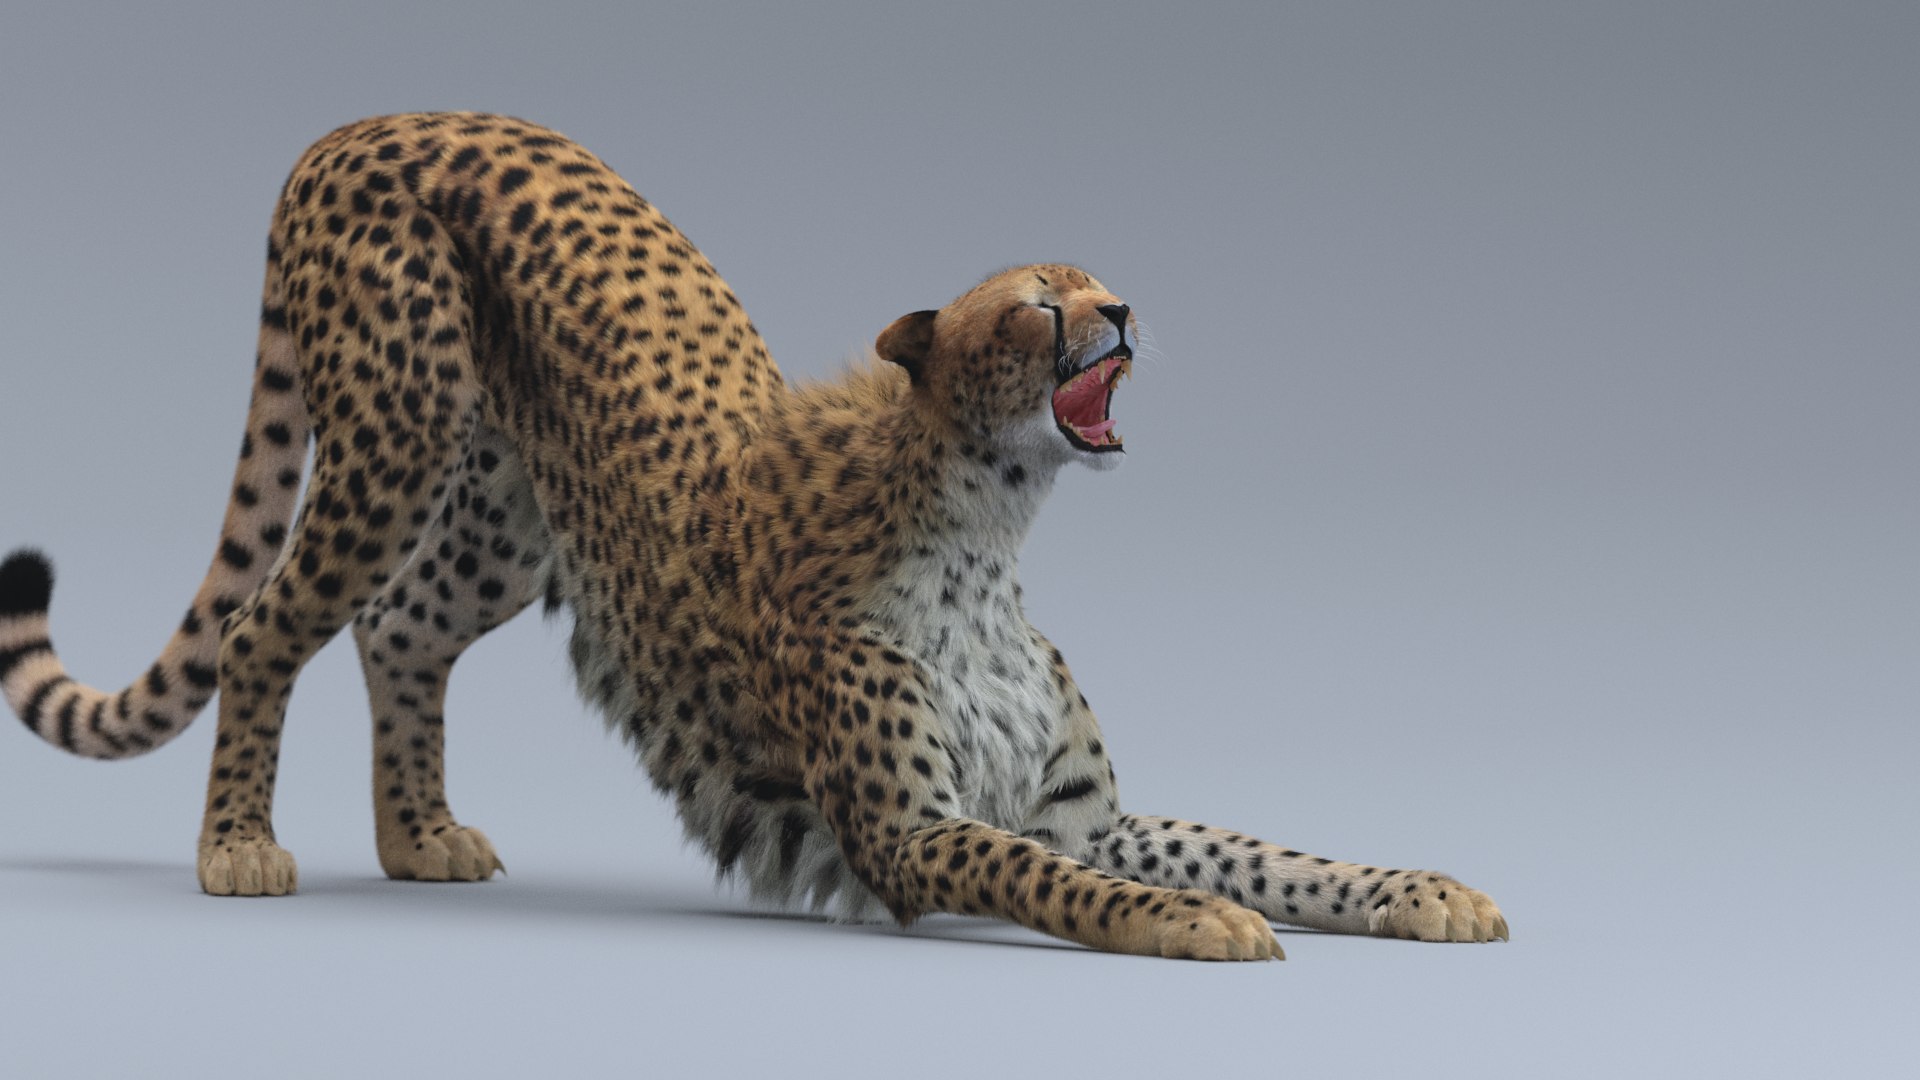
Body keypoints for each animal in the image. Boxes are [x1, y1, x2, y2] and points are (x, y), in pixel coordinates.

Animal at [0, 113, 1506, 960]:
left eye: (1096, 278)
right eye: (1037, 302)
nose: (1126, 311)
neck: (985, 529)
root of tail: (385, 113)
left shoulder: (1085, 809)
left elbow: (1261, 847)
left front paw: (1423, 890)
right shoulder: (914, 832)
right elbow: (1066, 883)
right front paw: (1198, 925)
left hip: (506, 515)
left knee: (402, 625)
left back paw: (419, 833)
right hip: (395, 431)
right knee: (267, 624)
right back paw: (237, 851)